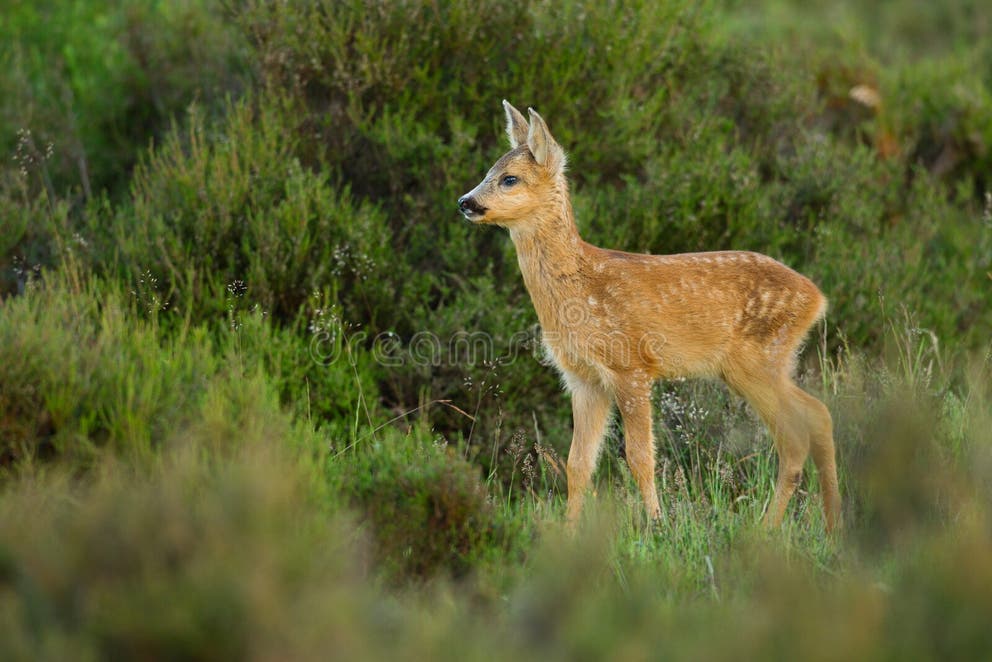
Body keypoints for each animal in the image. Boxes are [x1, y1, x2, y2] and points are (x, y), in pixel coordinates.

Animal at [458, 101, 841, 532]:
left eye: (509, 178)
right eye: (488, 171)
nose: (465, 201)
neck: (581, 288)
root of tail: (817, 297)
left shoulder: (631, 366)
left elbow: (641, 457)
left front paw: (657, 525)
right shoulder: (583, 379)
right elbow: (577, 464)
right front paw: (569, 533)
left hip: (757, 361)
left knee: (795, 436)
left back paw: (768, 528)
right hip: (765, 364)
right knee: (818, 414)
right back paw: (832, 523)